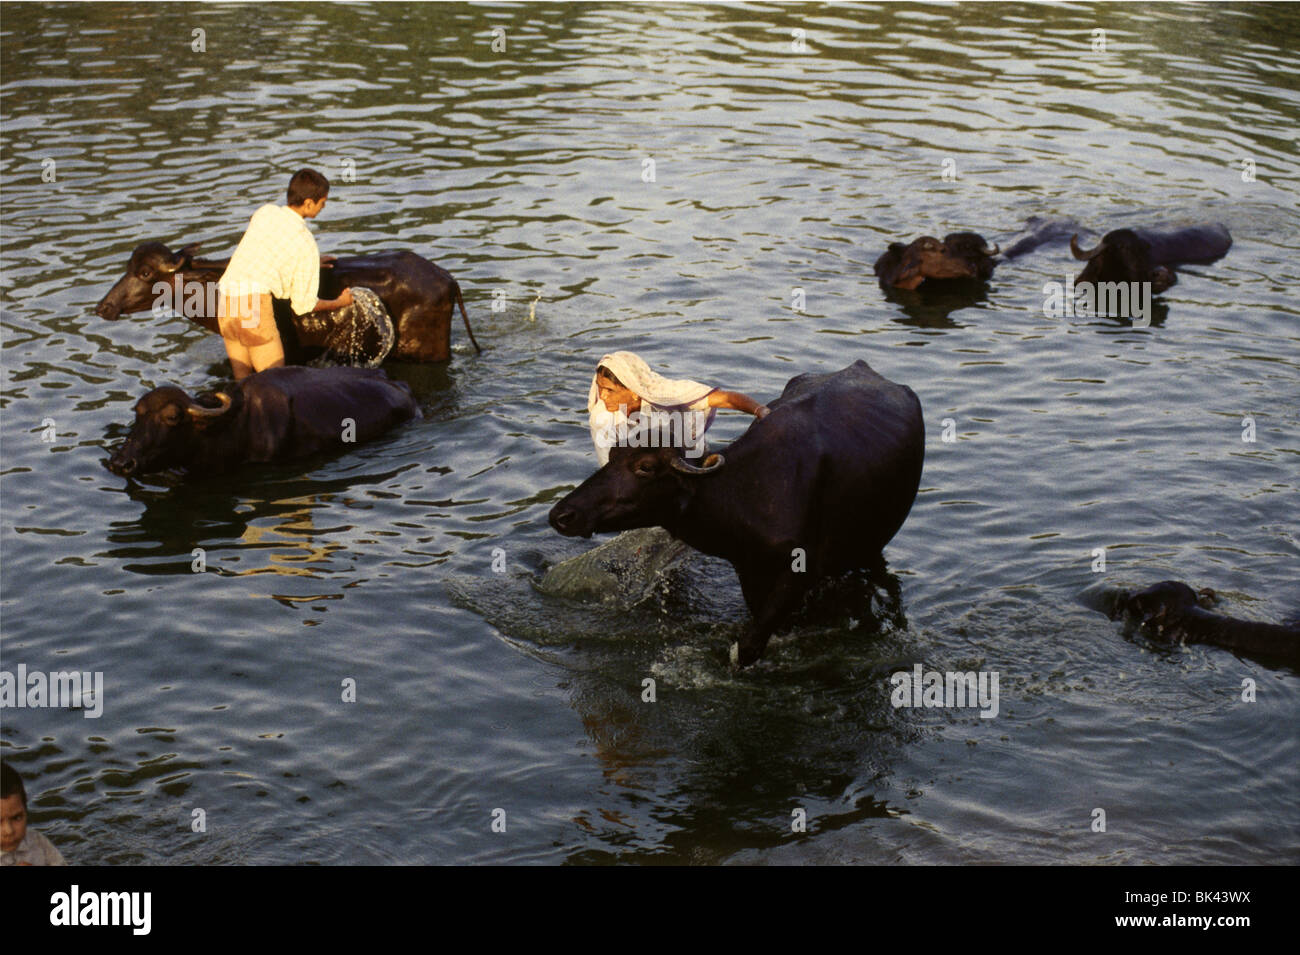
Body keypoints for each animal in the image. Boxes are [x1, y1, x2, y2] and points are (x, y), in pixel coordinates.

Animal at [548, 360, 925, 667]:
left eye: (645, 467)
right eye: (611, 457)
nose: (561, 515)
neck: (749, 491)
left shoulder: (800, 573)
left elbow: (747, 648)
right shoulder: (748, 569)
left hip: (874, 544)